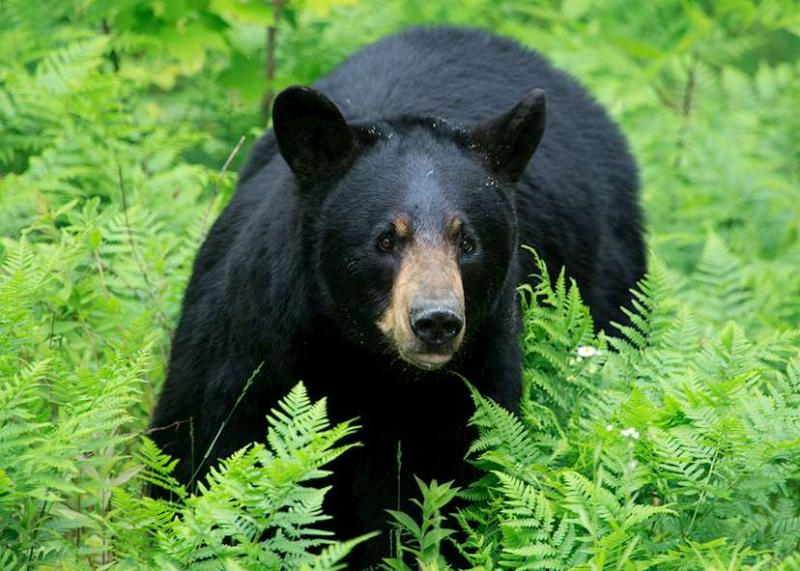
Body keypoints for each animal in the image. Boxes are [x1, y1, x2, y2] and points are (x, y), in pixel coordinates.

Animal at [150, 26, 645, 567]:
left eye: (467, 241)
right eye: (386, 239)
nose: (435, 320)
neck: (367, 366)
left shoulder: (472, 389)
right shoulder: (248, 348)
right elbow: (201, 452)